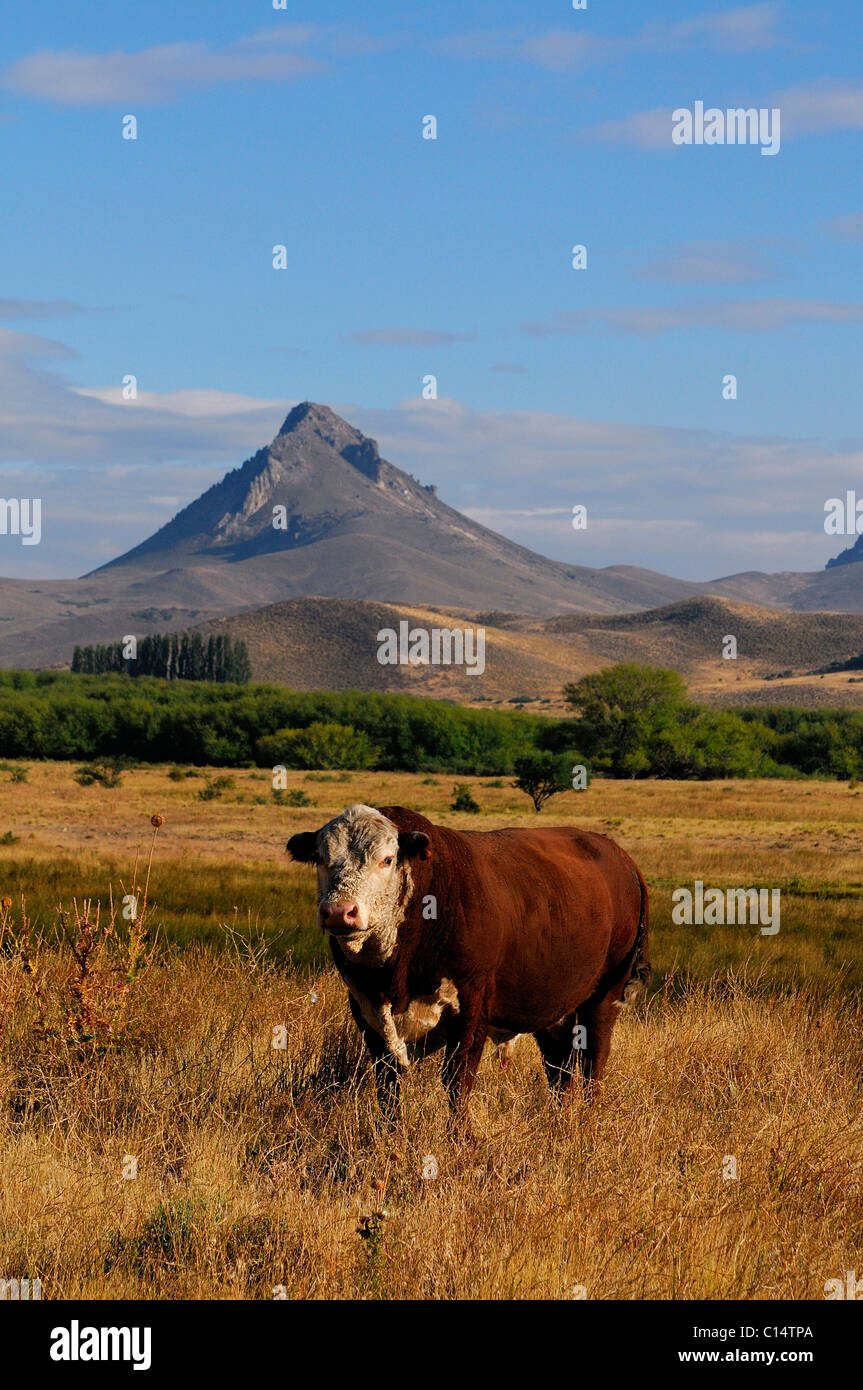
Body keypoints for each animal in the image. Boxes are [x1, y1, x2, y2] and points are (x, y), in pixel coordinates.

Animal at [287, 803, 649, 1124]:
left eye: (386, 860)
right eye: (321, 859)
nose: (339, 911)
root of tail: (621, 857)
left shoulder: (472, 1005)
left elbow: (457, 1081)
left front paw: (461, 1141)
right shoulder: (366, 1009)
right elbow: (387, 1085)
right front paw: (390, 1136)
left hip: (605, 995)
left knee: (593, 1062)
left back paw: (587, 1119)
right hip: (553, 1005)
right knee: (559, 1069)